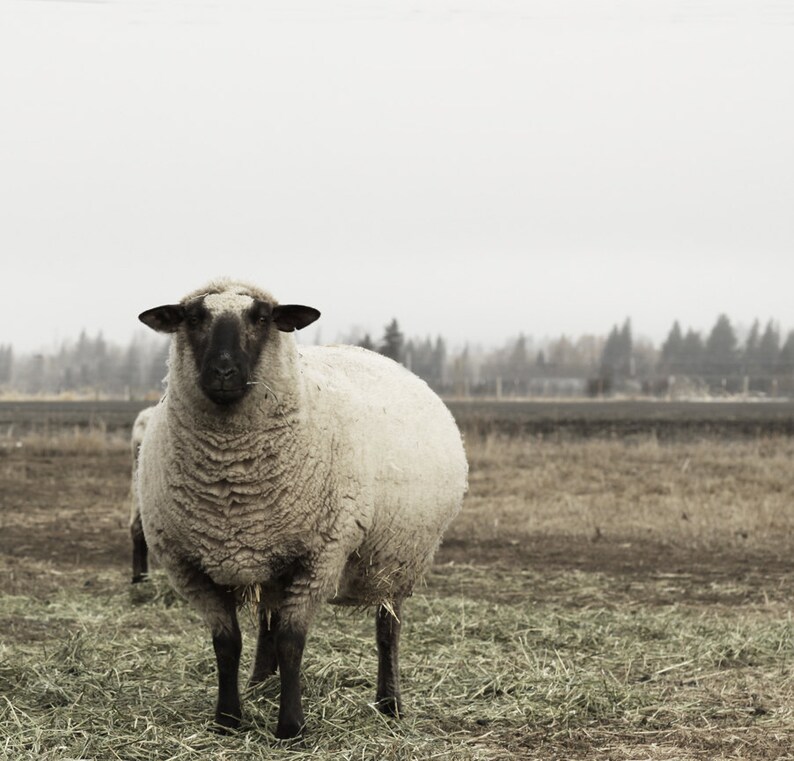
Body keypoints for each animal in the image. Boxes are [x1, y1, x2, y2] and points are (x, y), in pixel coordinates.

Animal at [135, 278, 468, 738]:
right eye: (193, 317)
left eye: (261, 318)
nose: (223, 372)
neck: (231, 481)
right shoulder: (189, 565)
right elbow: (227, 644)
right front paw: (227, 719)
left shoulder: (319, 555)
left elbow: (292, 642)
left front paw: (291, 726)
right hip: (272, 558)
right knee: (267, 620)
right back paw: (260, 683)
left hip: (399, 559)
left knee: (388, 629)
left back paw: (389, 702)